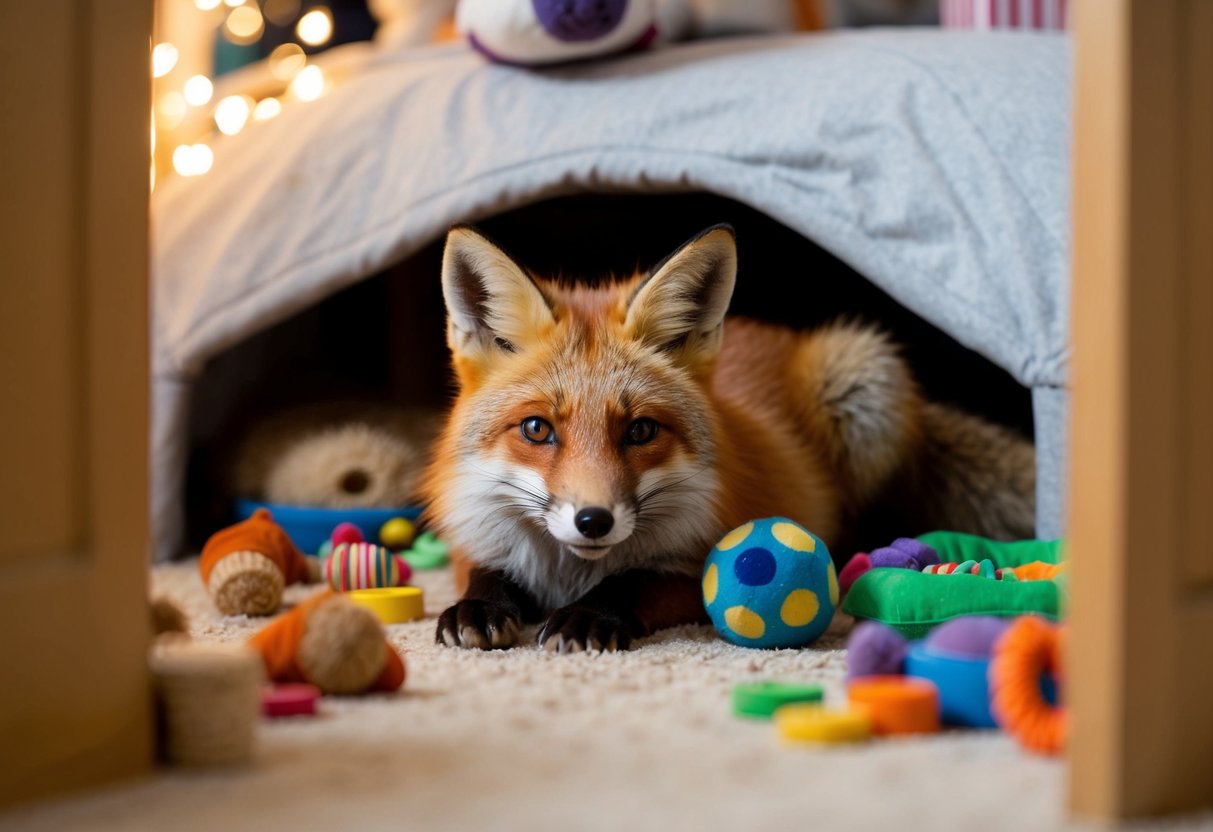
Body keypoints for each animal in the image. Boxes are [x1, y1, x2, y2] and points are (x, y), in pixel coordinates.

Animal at [421, 224, 1036, 653]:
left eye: (640, 430)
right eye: (537, 429)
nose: (593, 520)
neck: (570, 570)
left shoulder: (693, 569)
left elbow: (633, 582)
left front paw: (588, 615)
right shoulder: (475, 541)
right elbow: (486, 572)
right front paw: (476, 609)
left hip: (862, 382)